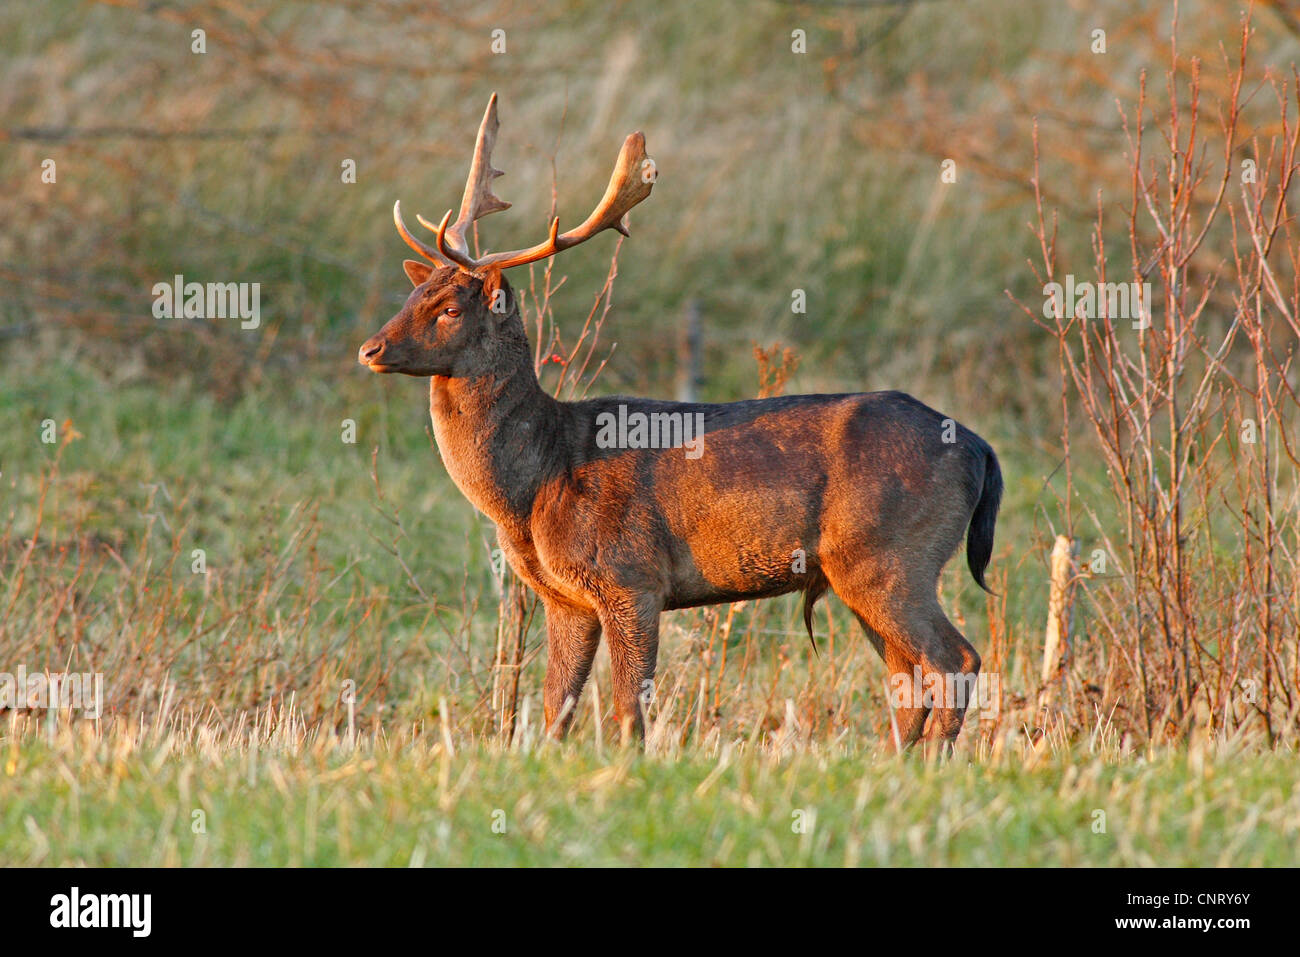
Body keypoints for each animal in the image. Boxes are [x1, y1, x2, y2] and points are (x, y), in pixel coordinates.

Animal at [358, 94, 1002, 750]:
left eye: (449, 309)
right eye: (412, 297)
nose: (370, 349)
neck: (536, 483)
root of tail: (980, 447)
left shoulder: (632, 576)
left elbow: (627, 708)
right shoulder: (566, 599)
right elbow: (556, 707)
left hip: (891, 555)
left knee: (956, 660)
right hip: (866, 569)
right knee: (908, 677)